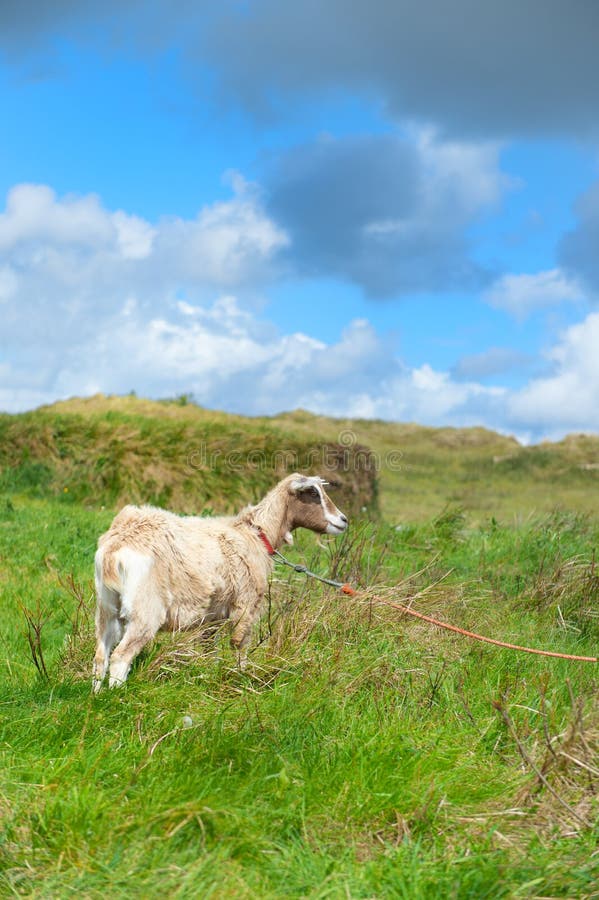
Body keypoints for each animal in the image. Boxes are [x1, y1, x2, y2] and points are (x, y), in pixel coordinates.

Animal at [92, 473, 348, 691]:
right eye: (313, 493)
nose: (343, 520)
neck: (257, 534)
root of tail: (115, 548)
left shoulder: (212, 614)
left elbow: (209, 647)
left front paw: (208, 674)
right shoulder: (246, 603)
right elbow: (240, 644)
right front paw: (242, 677)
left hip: (107, 607)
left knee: (100, 656)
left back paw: (97, 696)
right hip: (145, 608)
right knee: (120, 656)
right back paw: (117, 696)